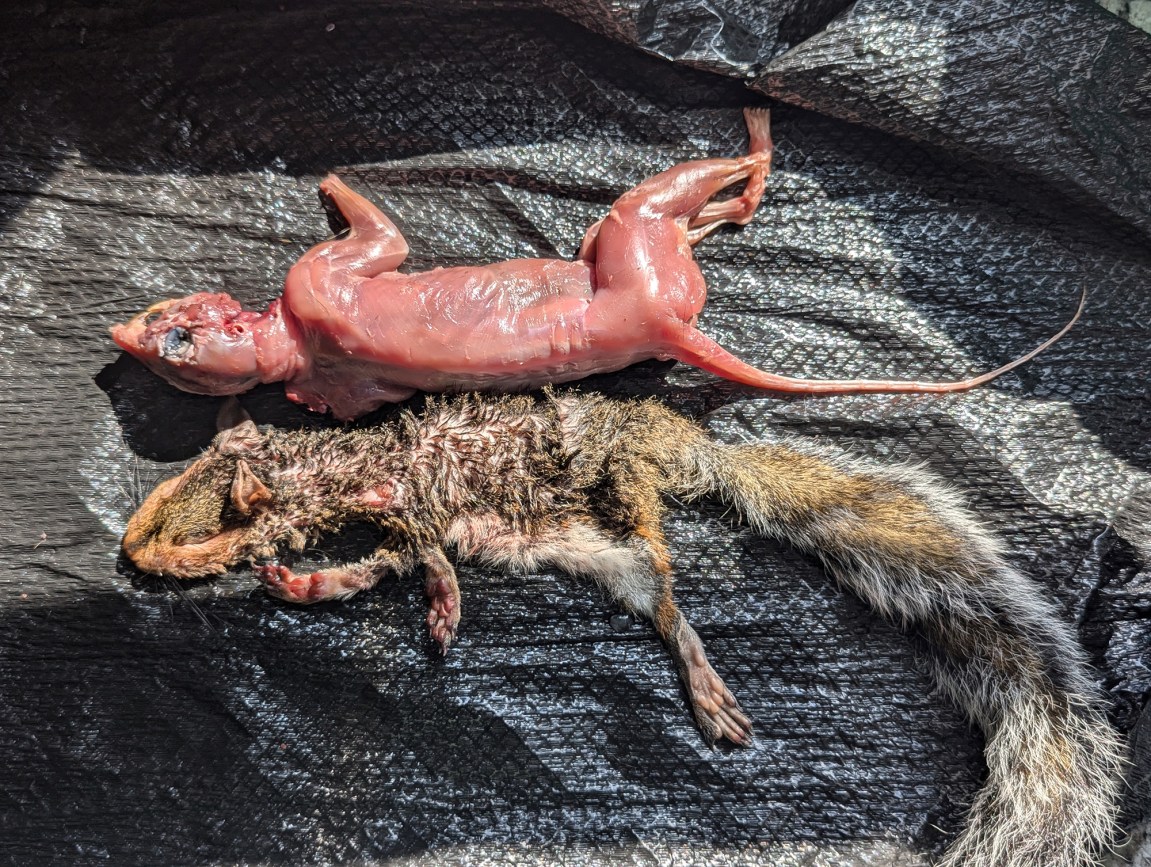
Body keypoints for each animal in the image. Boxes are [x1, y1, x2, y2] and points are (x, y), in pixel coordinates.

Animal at [121, 391, 1123, 867]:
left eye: (185, 529)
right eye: (157, 499)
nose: (127, 553)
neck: (325, 472)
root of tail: (694, 447)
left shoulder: (404, 494)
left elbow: (419, 551)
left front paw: (424, 594)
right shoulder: (403, 525)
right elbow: (388, 564)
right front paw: (308, 578)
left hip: (626, 487)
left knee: (671, 584)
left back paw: (710, 688)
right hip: (598, 551)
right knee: (654, 592)